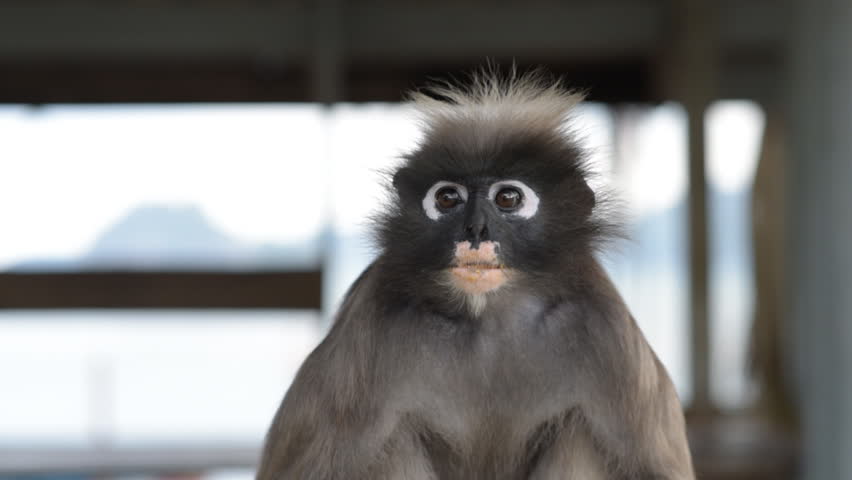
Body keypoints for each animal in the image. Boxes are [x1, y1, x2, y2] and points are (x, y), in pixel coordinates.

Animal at [257, 70, 695, 480]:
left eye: (508, 198)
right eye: (448, 197)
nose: (476, 230)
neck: (487, 317)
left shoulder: (609, 335)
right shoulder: (366, 332)